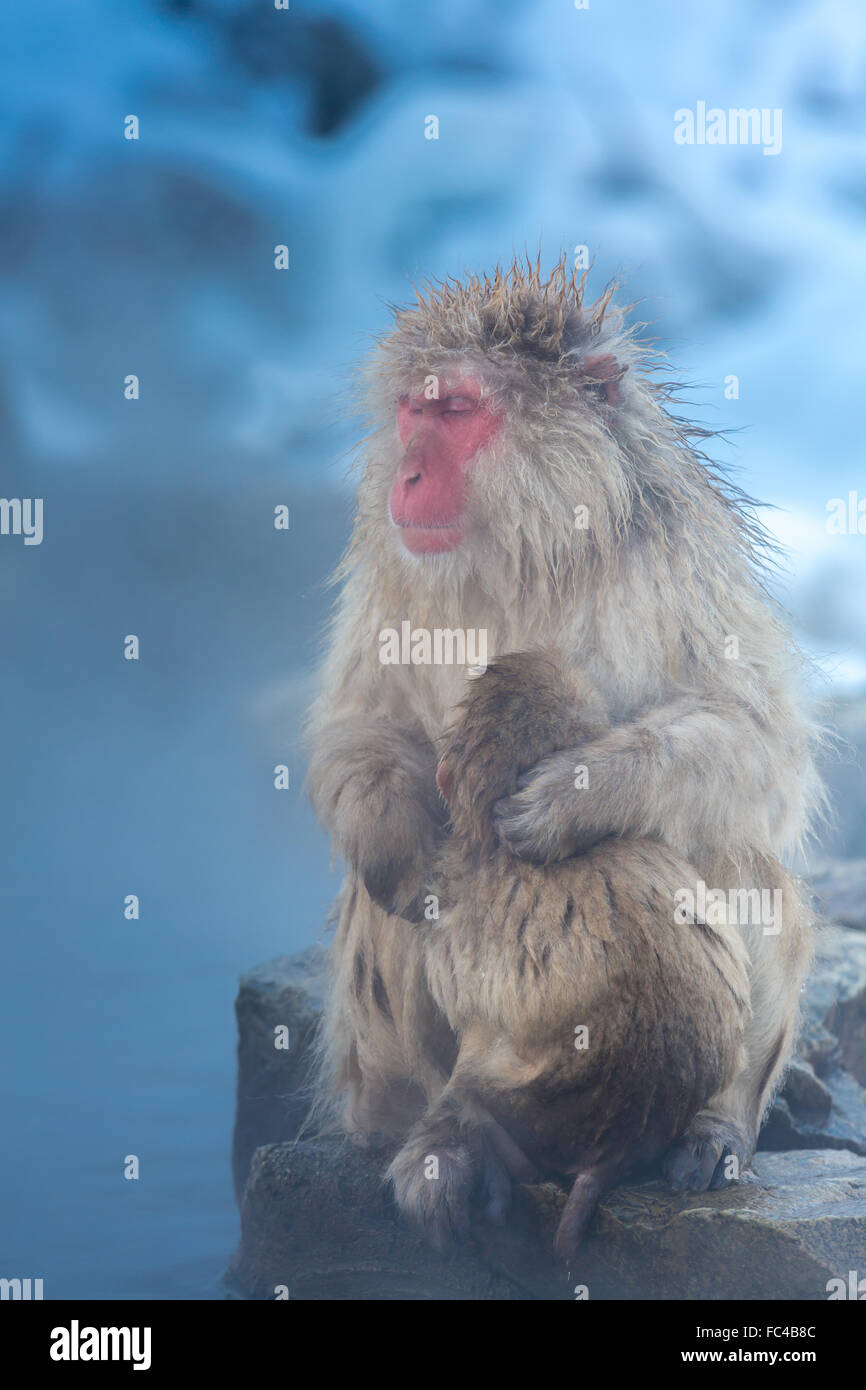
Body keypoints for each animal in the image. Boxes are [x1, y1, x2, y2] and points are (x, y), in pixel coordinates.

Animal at [306, 255, 819, 1250]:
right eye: (413, 411)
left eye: (459, 410)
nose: (410, 473)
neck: (526, 549)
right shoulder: (386, 556)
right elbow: (359, 726)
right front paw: (401, 842)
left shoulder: (676, 560)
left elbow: (758, 743)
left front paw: (572, 798)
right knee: (384, 916)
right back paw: (441, 1138)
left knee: (733, 847)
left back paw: (713, 1124)